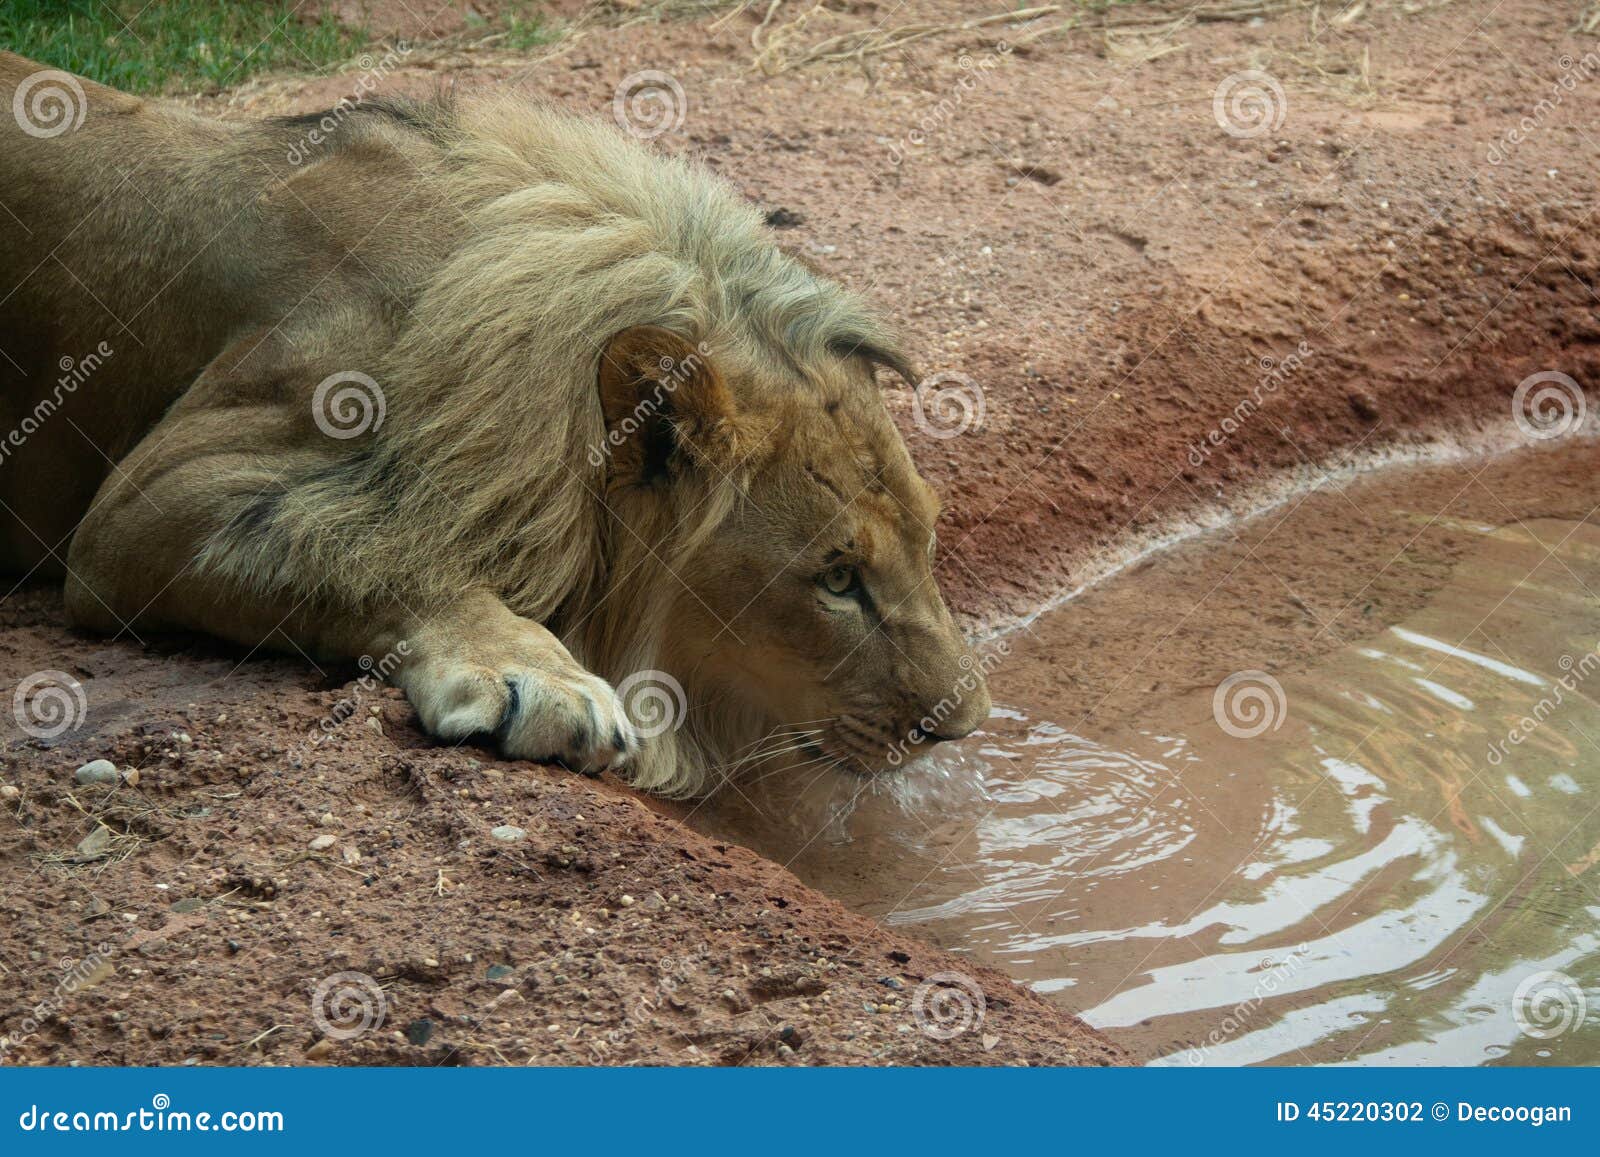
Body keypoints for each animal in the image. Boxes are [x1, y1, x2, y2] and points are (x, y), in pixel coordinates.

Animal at [0, 52, 990, 796]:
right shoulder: (146, 501)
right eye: (837, 579)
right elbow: (379, 552)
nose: (964, 728)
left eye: (932, 542)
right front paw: (538, 676)